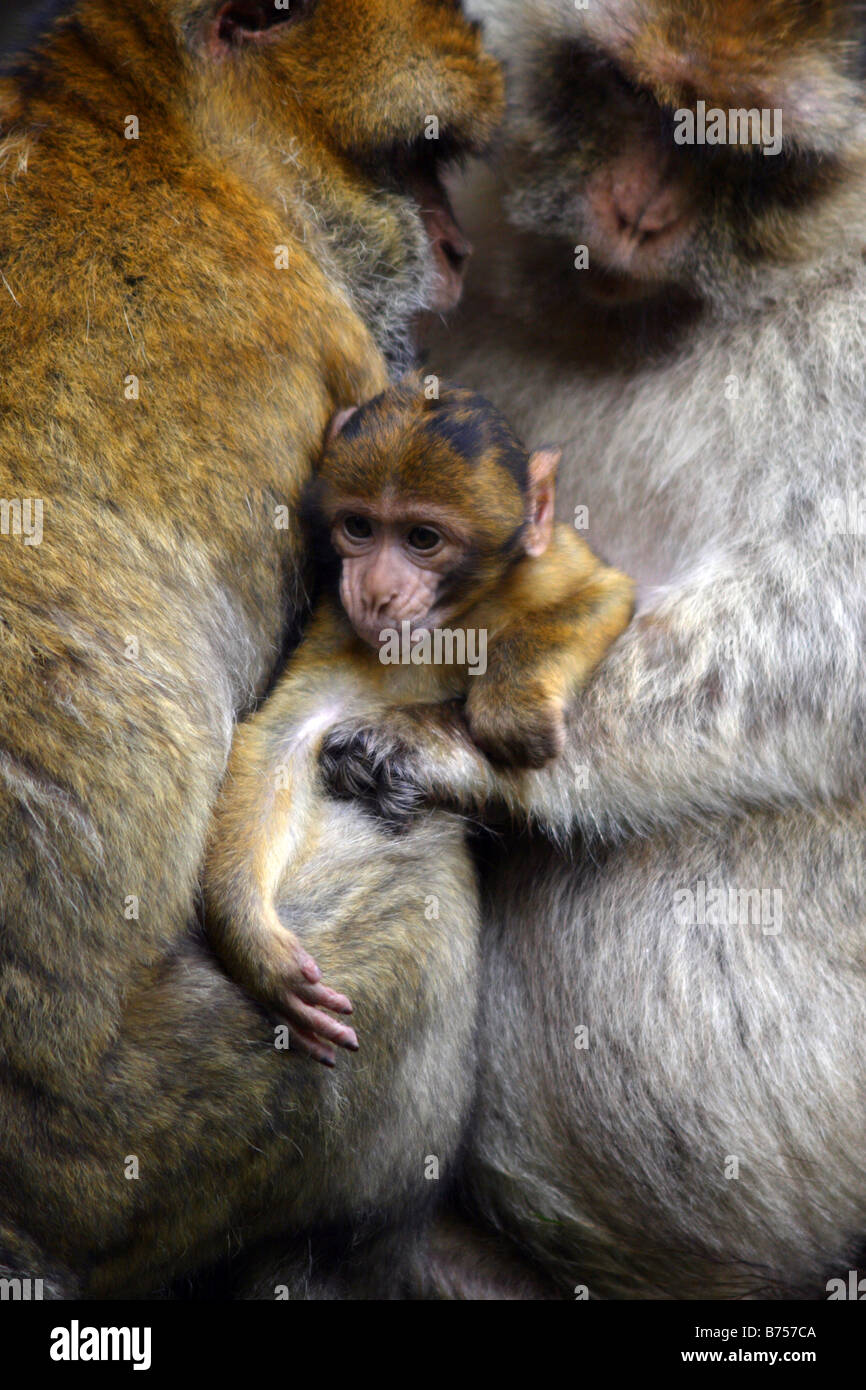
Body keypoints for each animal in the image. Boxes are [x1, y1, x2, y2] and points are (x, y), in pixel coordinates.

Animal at [0, 0, 506, 1297]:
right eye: (416, 160)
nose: (457, 246)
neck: (172, 132)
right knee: (414, 897)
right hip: (123, 1154)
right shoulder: (341, 363)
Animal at [202, 377, 635, 1065]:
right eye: (359, 527)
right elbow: (278, 742)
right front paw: (255, 946)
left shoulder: (546, 566)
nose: (376, 591)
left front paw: (506, 711)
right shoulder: (337, 628)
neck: (444, 628)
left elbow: (602, 593)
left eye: (422, 539)